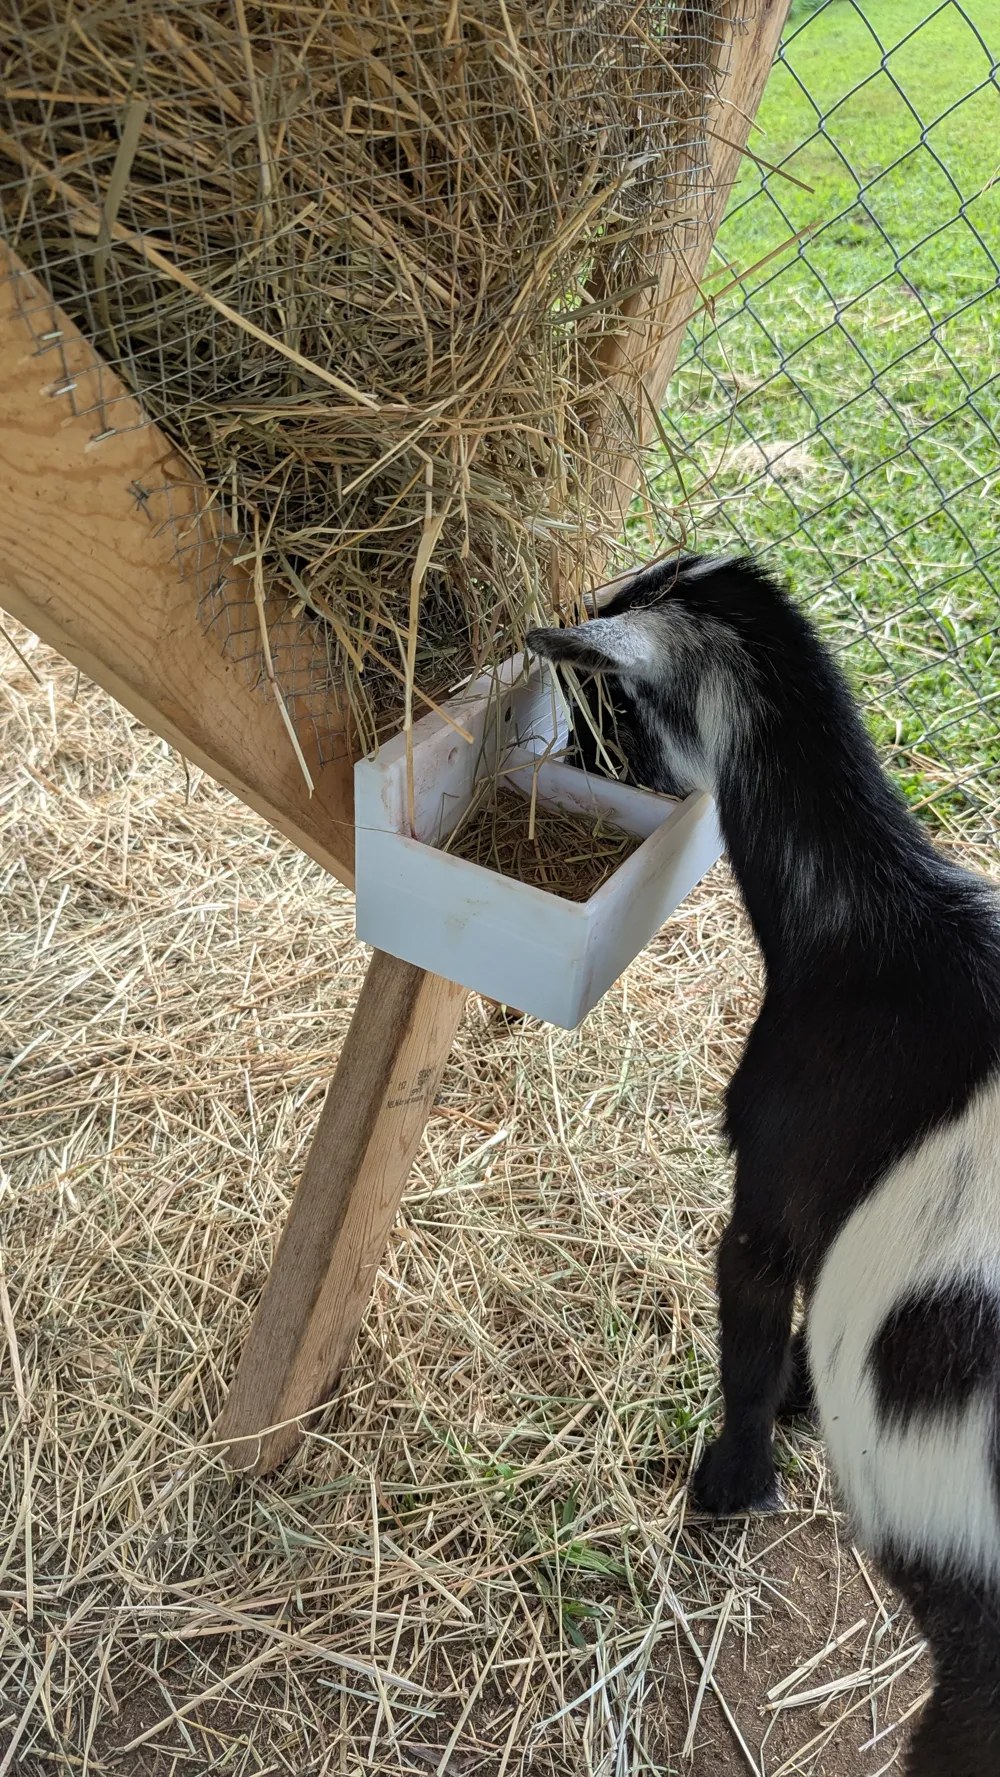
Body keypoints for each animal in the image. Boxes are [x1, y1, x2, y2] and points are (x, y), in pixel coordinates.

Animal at [527, 553, 1000, 1776]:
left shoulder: (774, 1178)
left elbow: (743, 1327)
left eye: (605, 700)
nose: (566, 757)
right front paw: (792, 1405)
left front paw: (732, 1481)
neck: (875, 931)